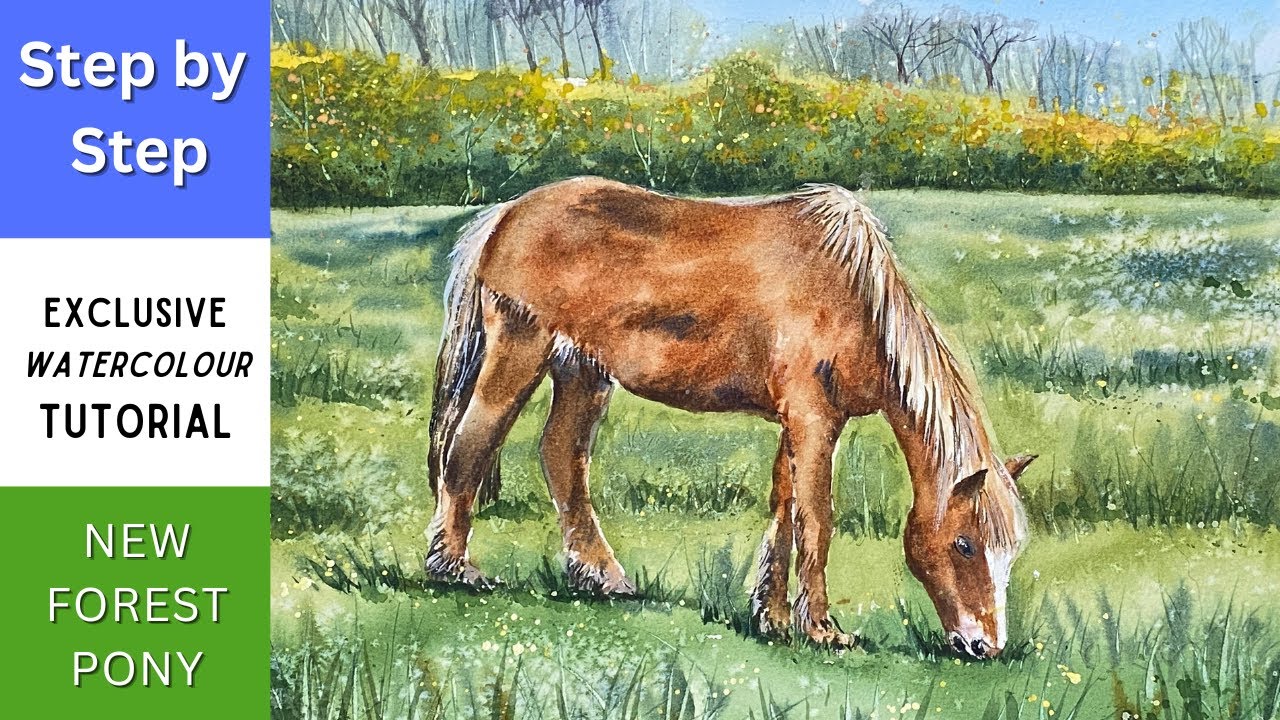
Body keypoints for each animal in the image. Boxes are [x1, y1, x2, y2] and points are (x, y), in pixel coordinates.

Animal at [424, 176, 1032, 657]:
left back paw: (603, 579)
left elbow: (784, 509)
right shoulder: (814, 420)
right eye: (964, 544)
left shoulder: (798, 423)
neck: (854, 296)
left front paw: (773, 617)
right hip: (520, 351)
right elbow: (816, 519)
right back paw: (454, 571)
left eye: (1011, 551)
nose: (984, 646)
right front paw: (822, 630)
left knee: (561, 456)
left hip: (582, 373)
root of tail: (505, 216)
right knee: (470, 445)